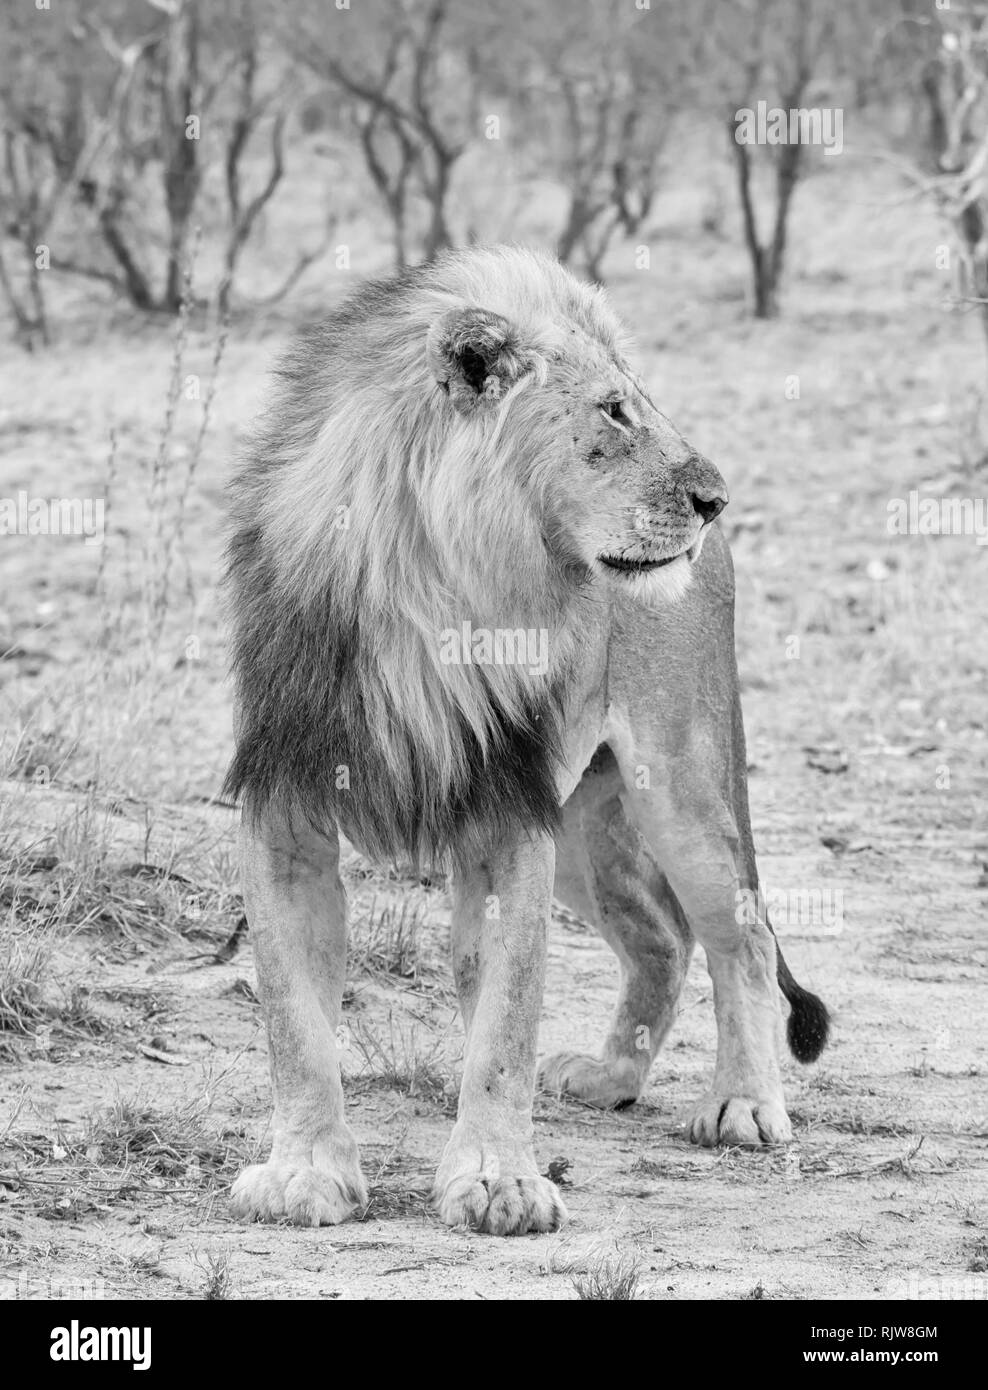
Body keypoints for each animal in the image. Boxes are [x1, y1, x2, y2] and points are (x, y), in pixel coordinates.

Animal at [224, 245, 829, 1236]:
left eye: (640, 401)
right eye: (614, 410)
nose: (714, 496)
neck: (429, 594)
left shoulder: (509, 813)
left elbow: (506, 1016)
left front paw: (499, 1179)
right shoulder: (287, 806)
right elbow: (292, 1016)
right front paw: (305, 1171)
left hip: (679, 783)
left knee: (738, 933)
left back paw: (743, 1106)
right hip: (583, 820)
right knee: (660, 939)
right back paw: (611, 1076)